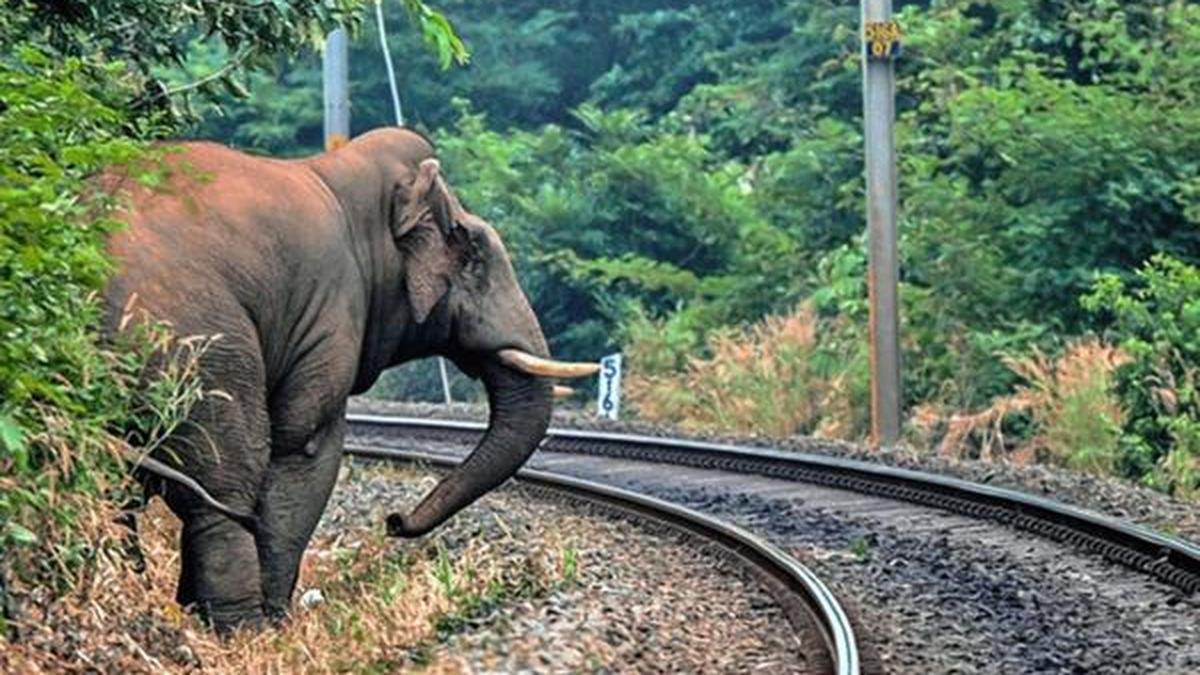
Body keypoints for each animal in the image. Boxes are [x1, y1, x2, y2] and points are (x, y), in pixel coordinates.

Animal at [101, 127, 596, 633]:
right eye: (473, 254)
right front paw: (277, 622)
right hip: (195, 347)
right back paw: (241, 627)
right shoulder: (329, 311)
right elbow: (306, 445)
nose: (393, 521)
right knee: (221, 483)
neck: (341, 176)